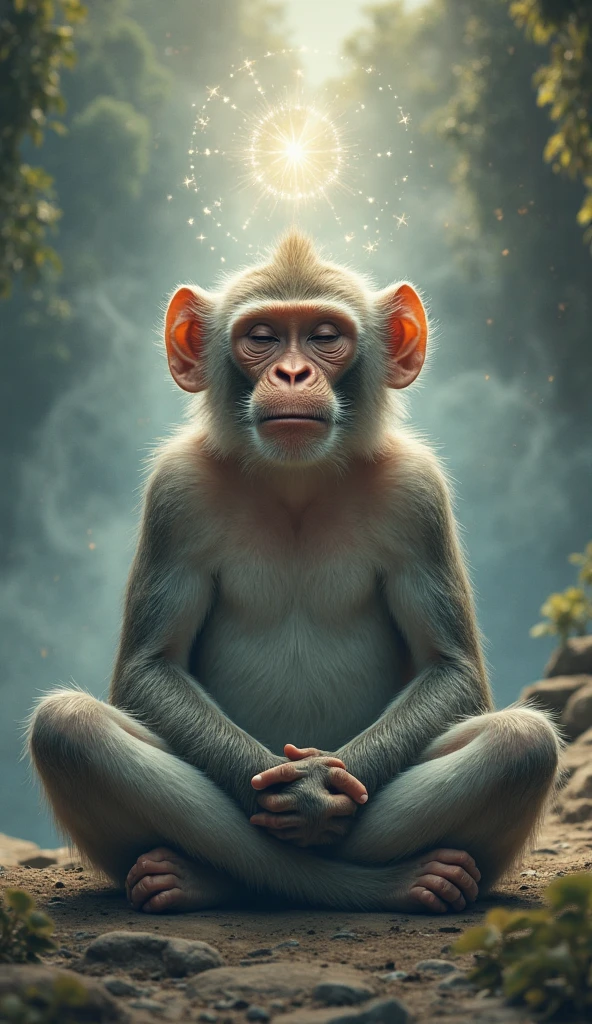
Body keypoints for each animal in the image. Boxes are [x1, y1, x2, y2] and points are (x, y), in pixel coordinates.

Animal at [28, 231, 561, 916]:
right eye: (261, 337)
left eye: (324, 336)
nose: (291, 373)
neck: (296, 481)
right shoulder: (176, 491)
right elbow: (148, 666)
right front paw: (296, 792)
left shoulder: (417, 493)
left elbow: (453, 667)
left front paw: (315, 790)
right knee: (69, 726)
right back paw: (221, 878)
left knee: (519, 742)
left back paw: (404, 878)